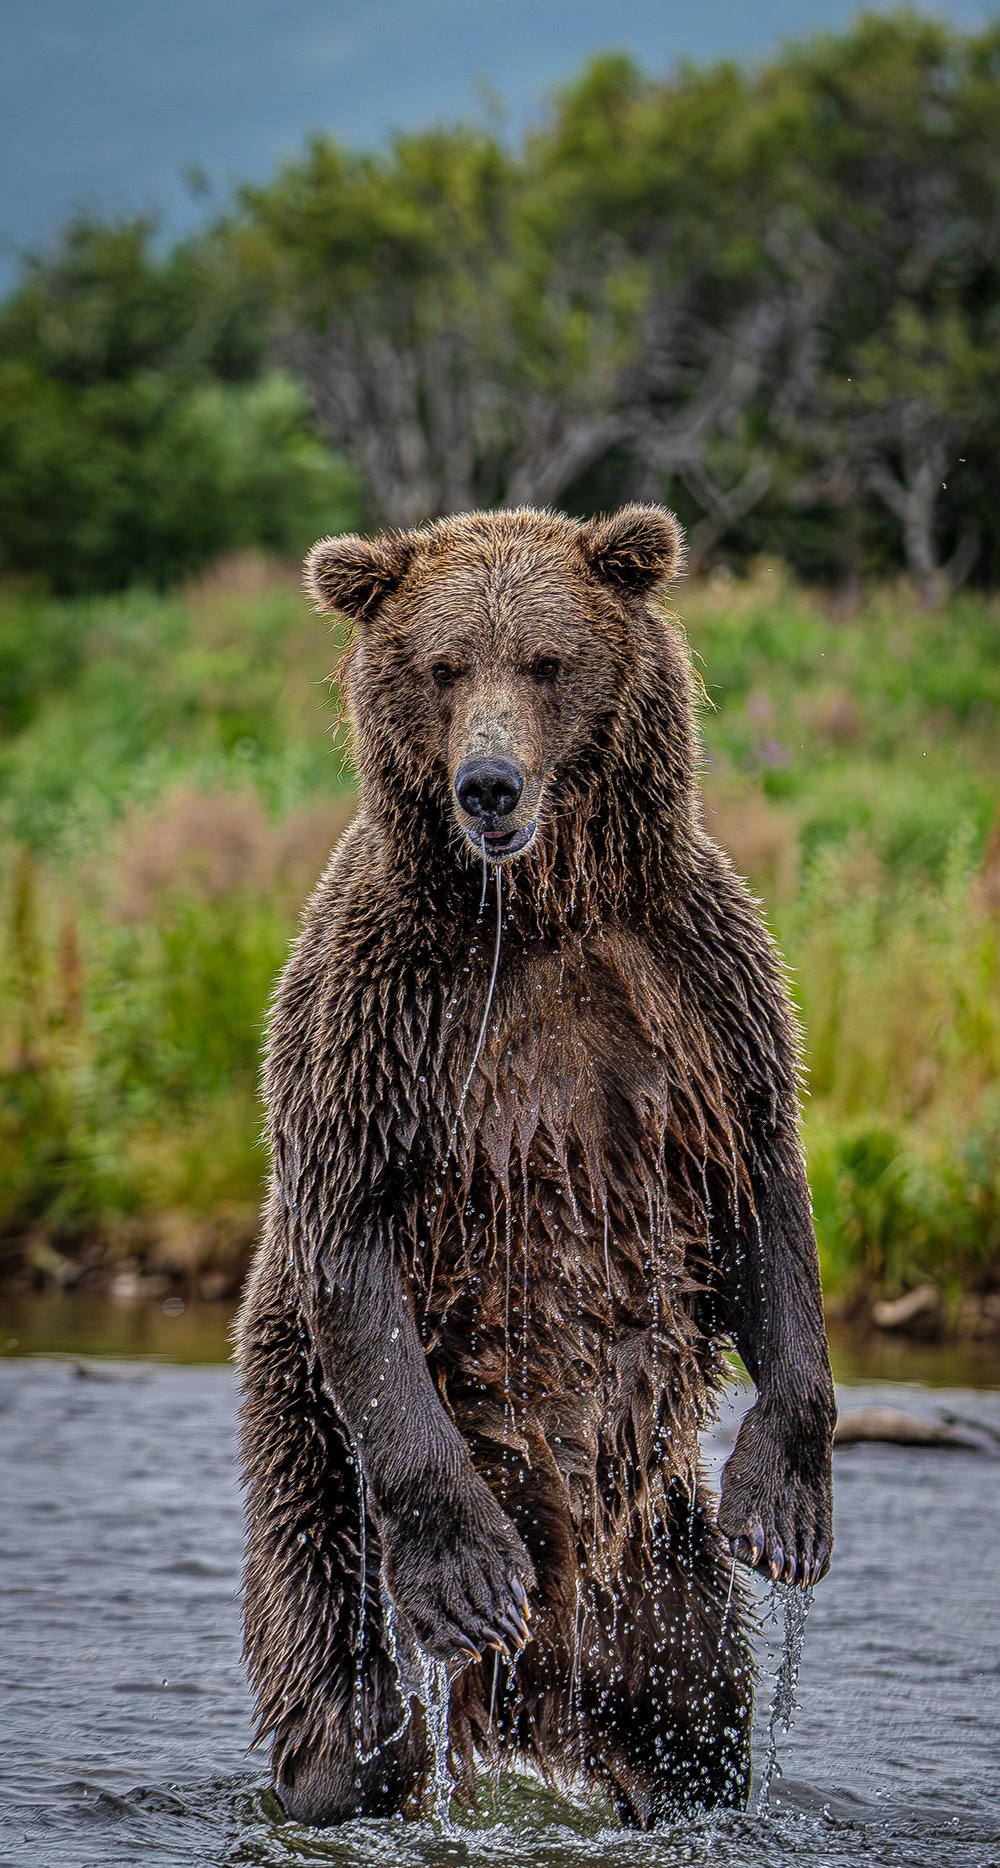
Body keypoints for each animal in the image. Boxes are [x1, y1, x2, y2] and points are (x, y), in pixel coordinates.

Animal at [235, 504, 835, 1831]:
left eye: (549, 661)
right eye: (443, 664)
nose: (487, 782)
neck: (542, 906)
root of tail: (543, 1690)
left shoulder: (700, 984)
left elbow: (764, 1189)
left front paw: (782, 1504)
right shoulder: (379, 1012)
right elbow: (351, 1231)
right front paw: (469, 1574)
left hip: (660, 1566)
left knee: (702, 1722)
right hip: (314, 1461)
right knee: (343, 1694)